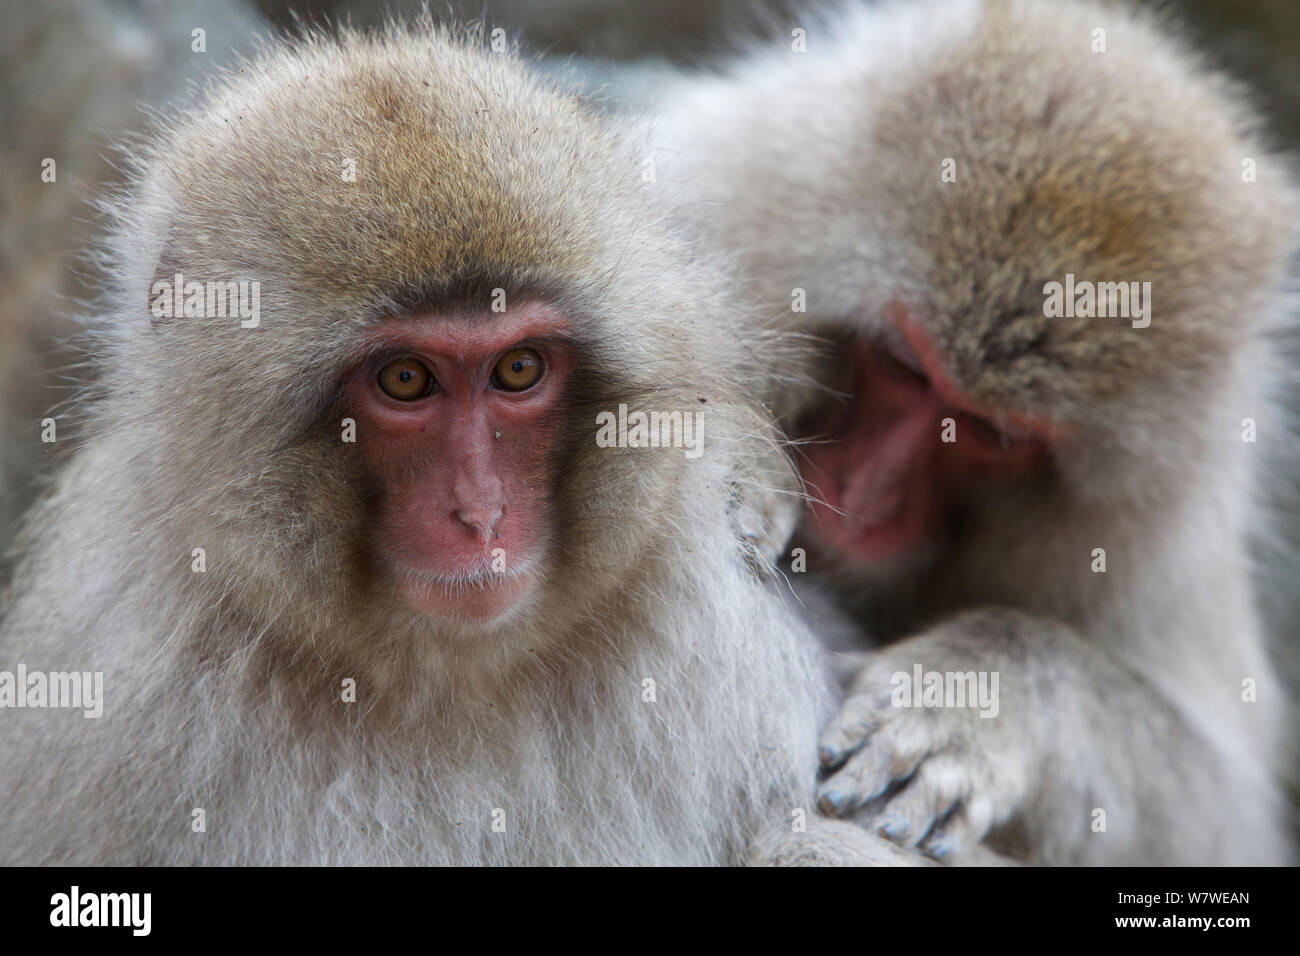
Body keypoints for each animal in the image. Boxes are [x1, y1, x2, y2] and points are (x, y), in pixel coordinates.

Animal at [637, 0, 1299, 864]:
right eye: (904, 364)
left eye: (995, 434)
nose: (865, 495)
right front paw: (729, 435)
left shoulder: (1157, 538)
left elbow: (1219, 815)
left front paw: (980, 698)